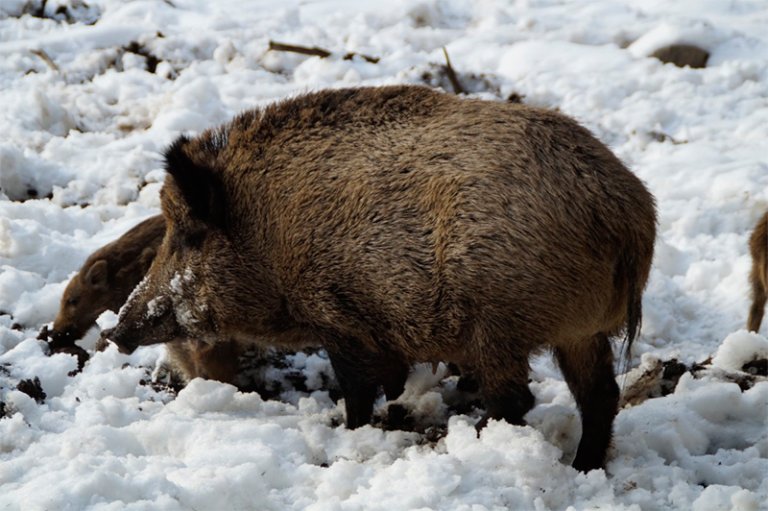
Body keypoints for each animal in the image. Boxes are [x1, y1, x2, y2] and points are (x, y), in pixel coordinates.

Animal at [106, 85, 657, 472]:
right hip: (580, 332)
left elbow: (356, 387)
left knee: (517, 400)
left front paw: (350, 431)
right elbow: (388, 381)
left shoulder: (341, 316)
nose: (115, 333)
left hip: (500, 326)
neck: (268, 231)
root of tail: (625, 213)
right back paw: (585, 469)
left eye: (189, 234)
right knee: (601, 396)